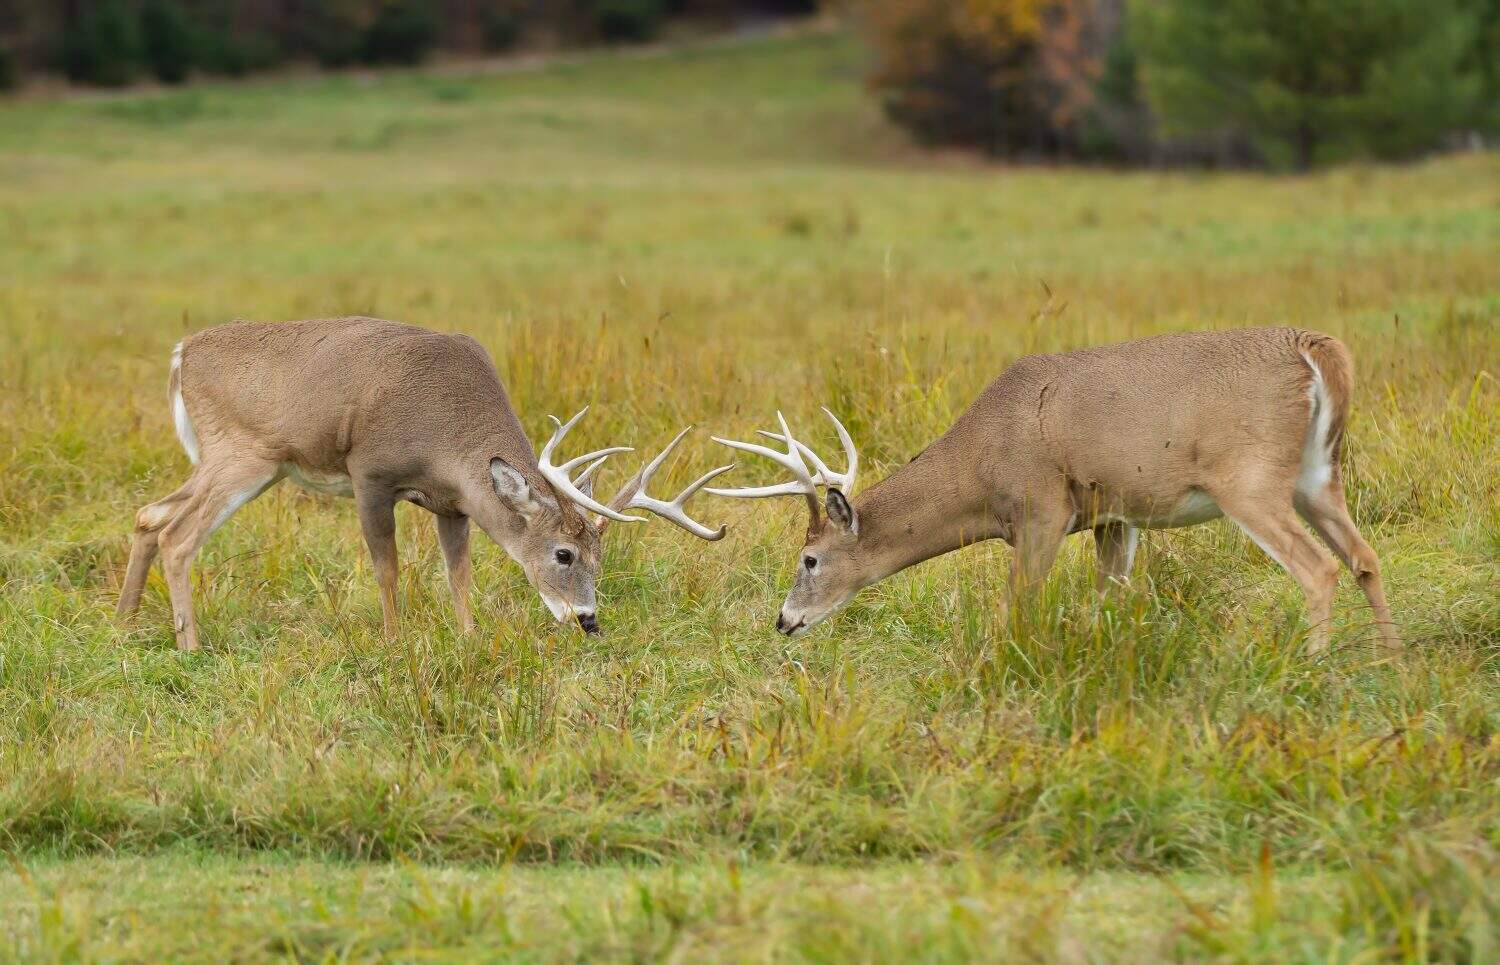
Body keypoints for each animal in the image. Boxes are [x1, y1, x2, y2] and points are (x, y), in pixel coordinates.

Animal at [116, 317, 732, 650]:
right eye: (563, 554)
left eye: (601, 559)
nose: (588, 620)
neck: (445, 433)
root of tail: (181, 353)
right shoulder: (369, 473)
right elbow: (386, 568)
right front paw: (393, 642)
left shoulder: (452, 504)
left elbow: (458, 575)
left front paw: (469, 637)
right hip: (243, 454)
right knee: (178, 536)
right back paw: (190, 645)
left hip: (242, 464)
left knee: (149, 514)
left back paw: (124, 625)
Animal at [708, 328, 1400, 652]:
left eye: (809, 559)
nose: (783, 620)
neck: (982, 465)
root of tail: (1318, 350)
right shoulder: (1114, 517)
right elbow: (1107, 606)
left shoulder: (1041, 511)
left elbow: (1017, 608)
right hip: (1319, 476)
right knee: (1365, 558)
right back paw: (1391, 663)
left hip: (1250, 481)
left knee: (1319, 569)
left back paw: (1310, 667)